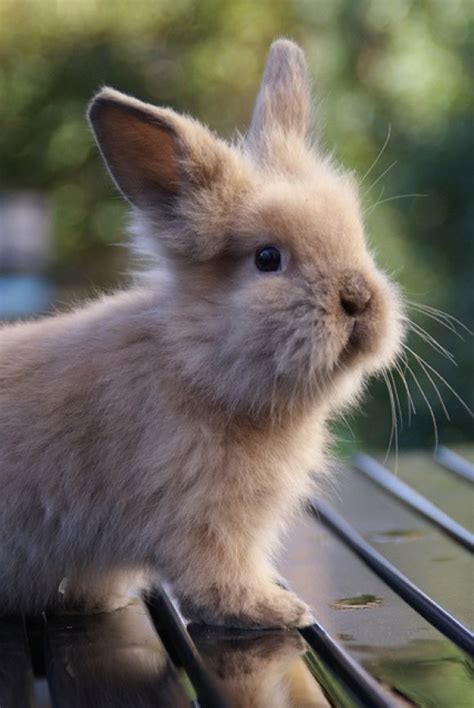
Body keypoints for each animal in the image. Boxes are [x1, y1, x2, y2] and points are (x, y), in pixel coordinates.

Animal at [0, 39, 403, 627]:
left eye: (359, 237)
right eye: (267, 258)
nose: (359, 299)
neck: (197, 362)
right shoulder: (201, 515)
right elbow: (214, 581)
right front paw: (280, 610)